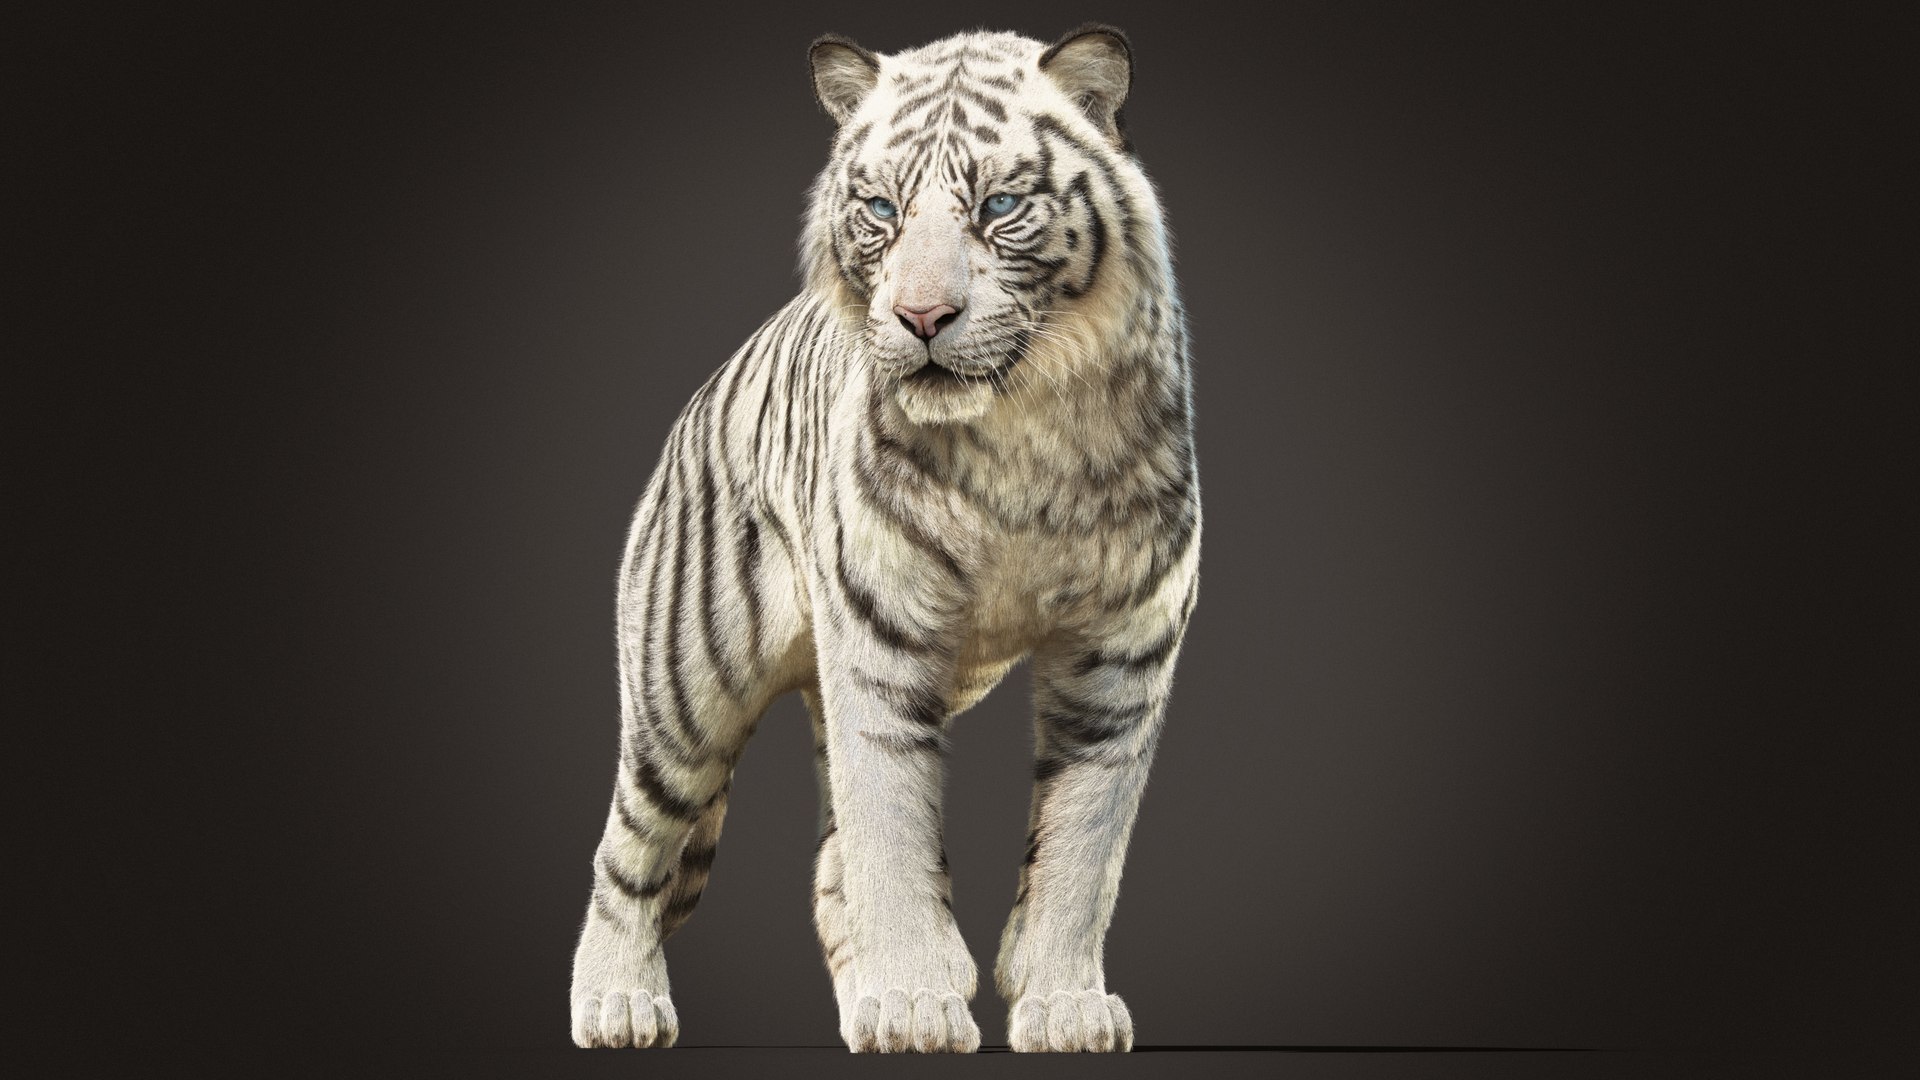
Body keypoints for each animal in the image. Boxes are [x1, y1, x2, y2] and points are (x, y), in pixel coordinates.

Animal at [568, 24, 1198, 1053]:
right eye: (879, 210)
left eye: (999, 206)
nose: (921, 317)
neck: (1022, 437)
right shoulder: (881, 636)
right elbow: (894, 833)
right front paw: (914, 1007)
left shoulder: (1120, 654)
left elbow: (1080, 851)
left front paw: (1062, 1007)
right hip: (685, 689)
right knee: (629, 848)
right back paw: (619, 1004)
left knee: (831, 870)